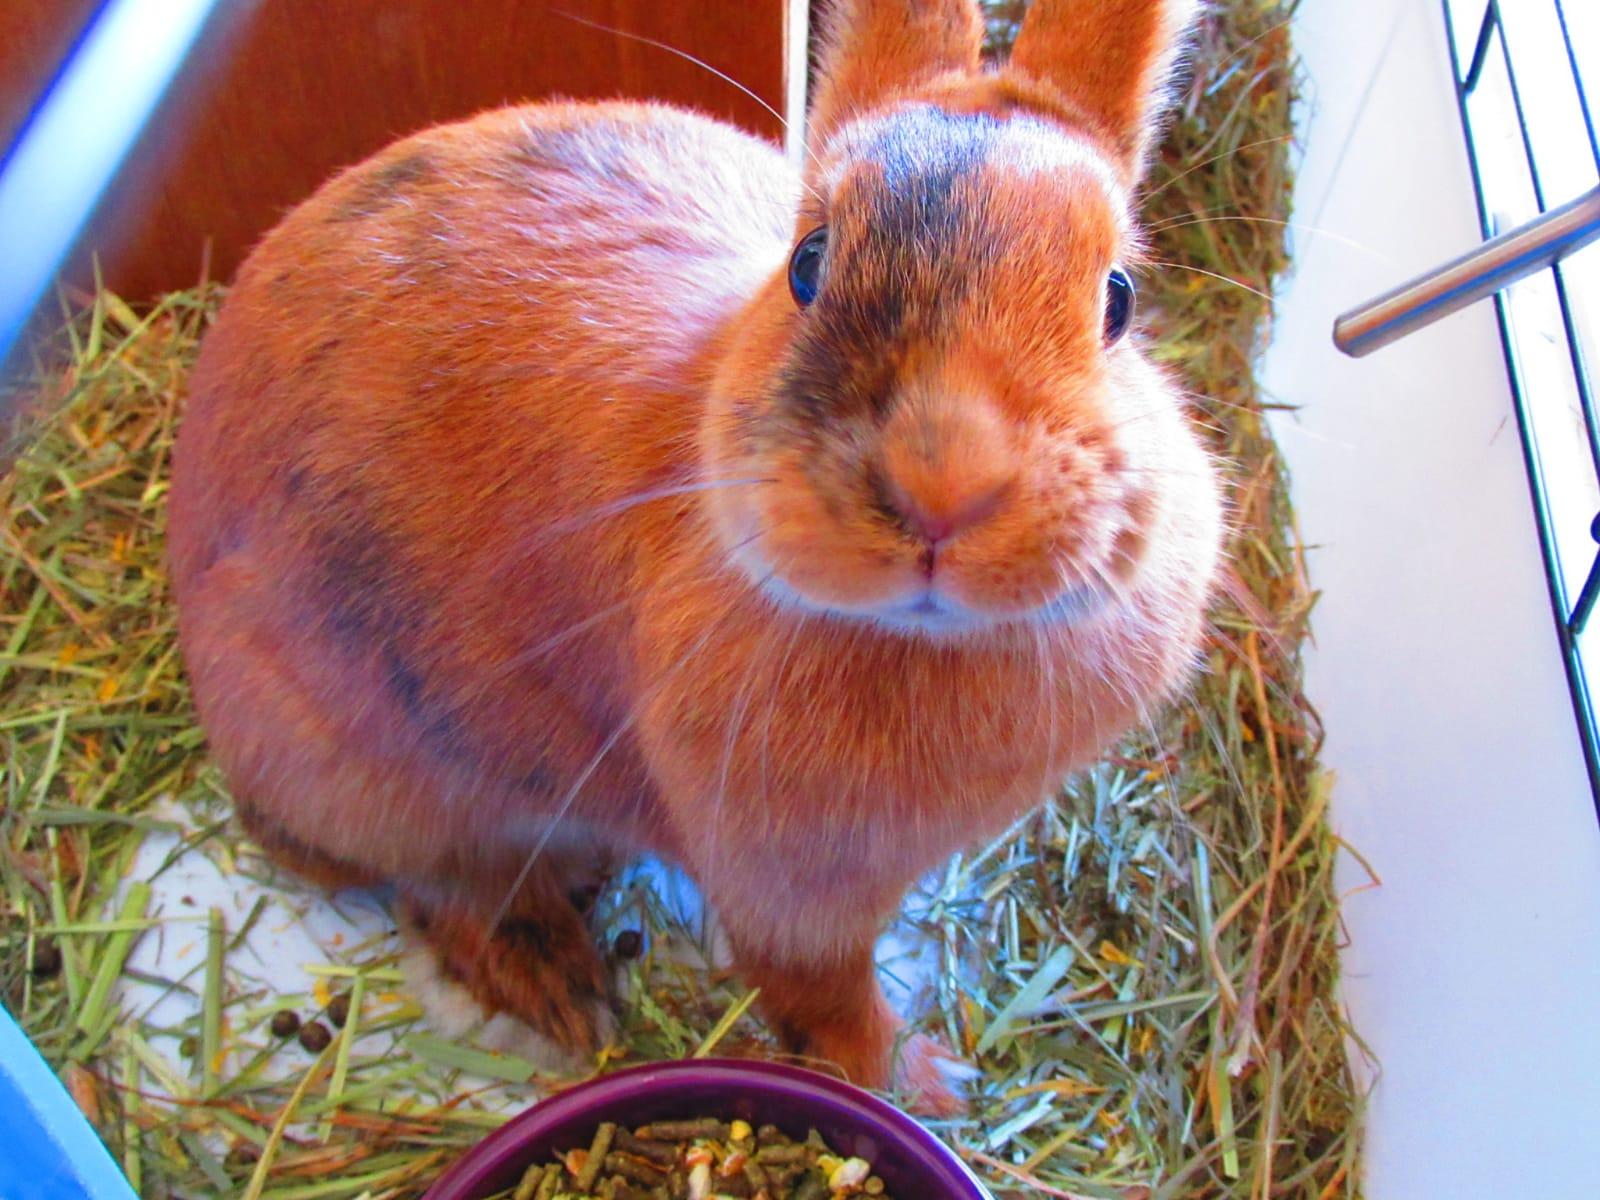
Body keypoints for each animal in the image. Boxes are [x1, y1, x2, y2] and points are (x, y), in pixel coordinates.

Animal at [167, 0, 1221, 1114]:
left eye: (1118, 299)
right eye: (808, 264)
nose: (943, 484)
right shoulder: (791, 892)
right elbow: (824, 1001)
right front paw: (925, 1084)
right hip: (384, 773)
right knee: (449, 887)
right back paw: (558, 991)